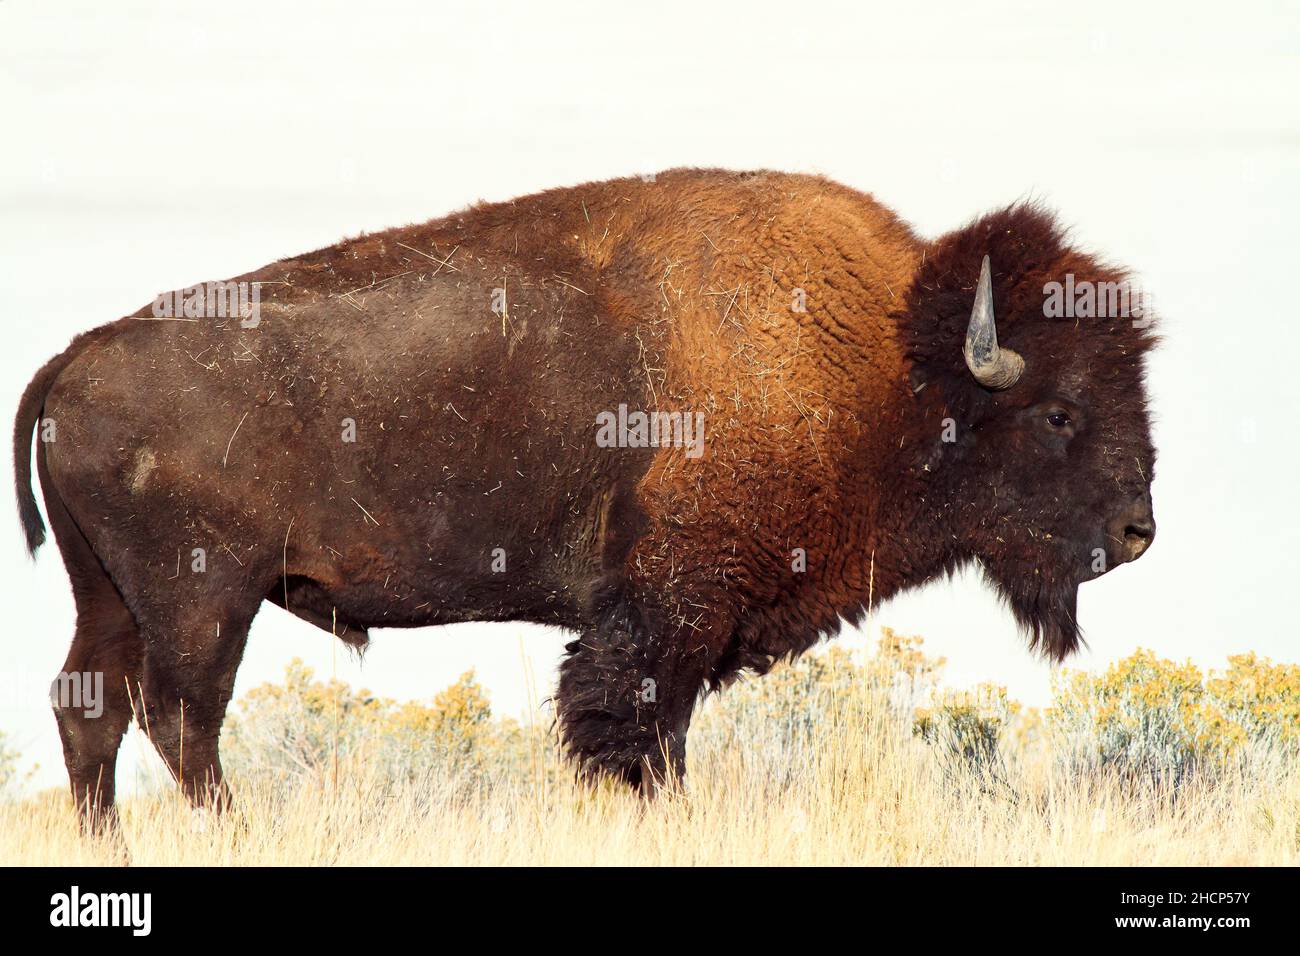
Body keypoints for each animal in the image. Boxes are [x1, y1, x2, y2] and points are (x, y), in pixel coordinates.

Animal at [14, 169, 1157, 825]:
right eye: (1060, 412)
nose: (1138, 529)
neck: (887, 368)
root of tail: (74, 357)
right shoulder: (663, 617)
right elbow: (634, 735)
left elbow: (657, 739)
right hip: (203, 598)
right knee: (181, 715)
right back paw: (237, 831)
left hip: (108, 595)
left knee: (90, 710)